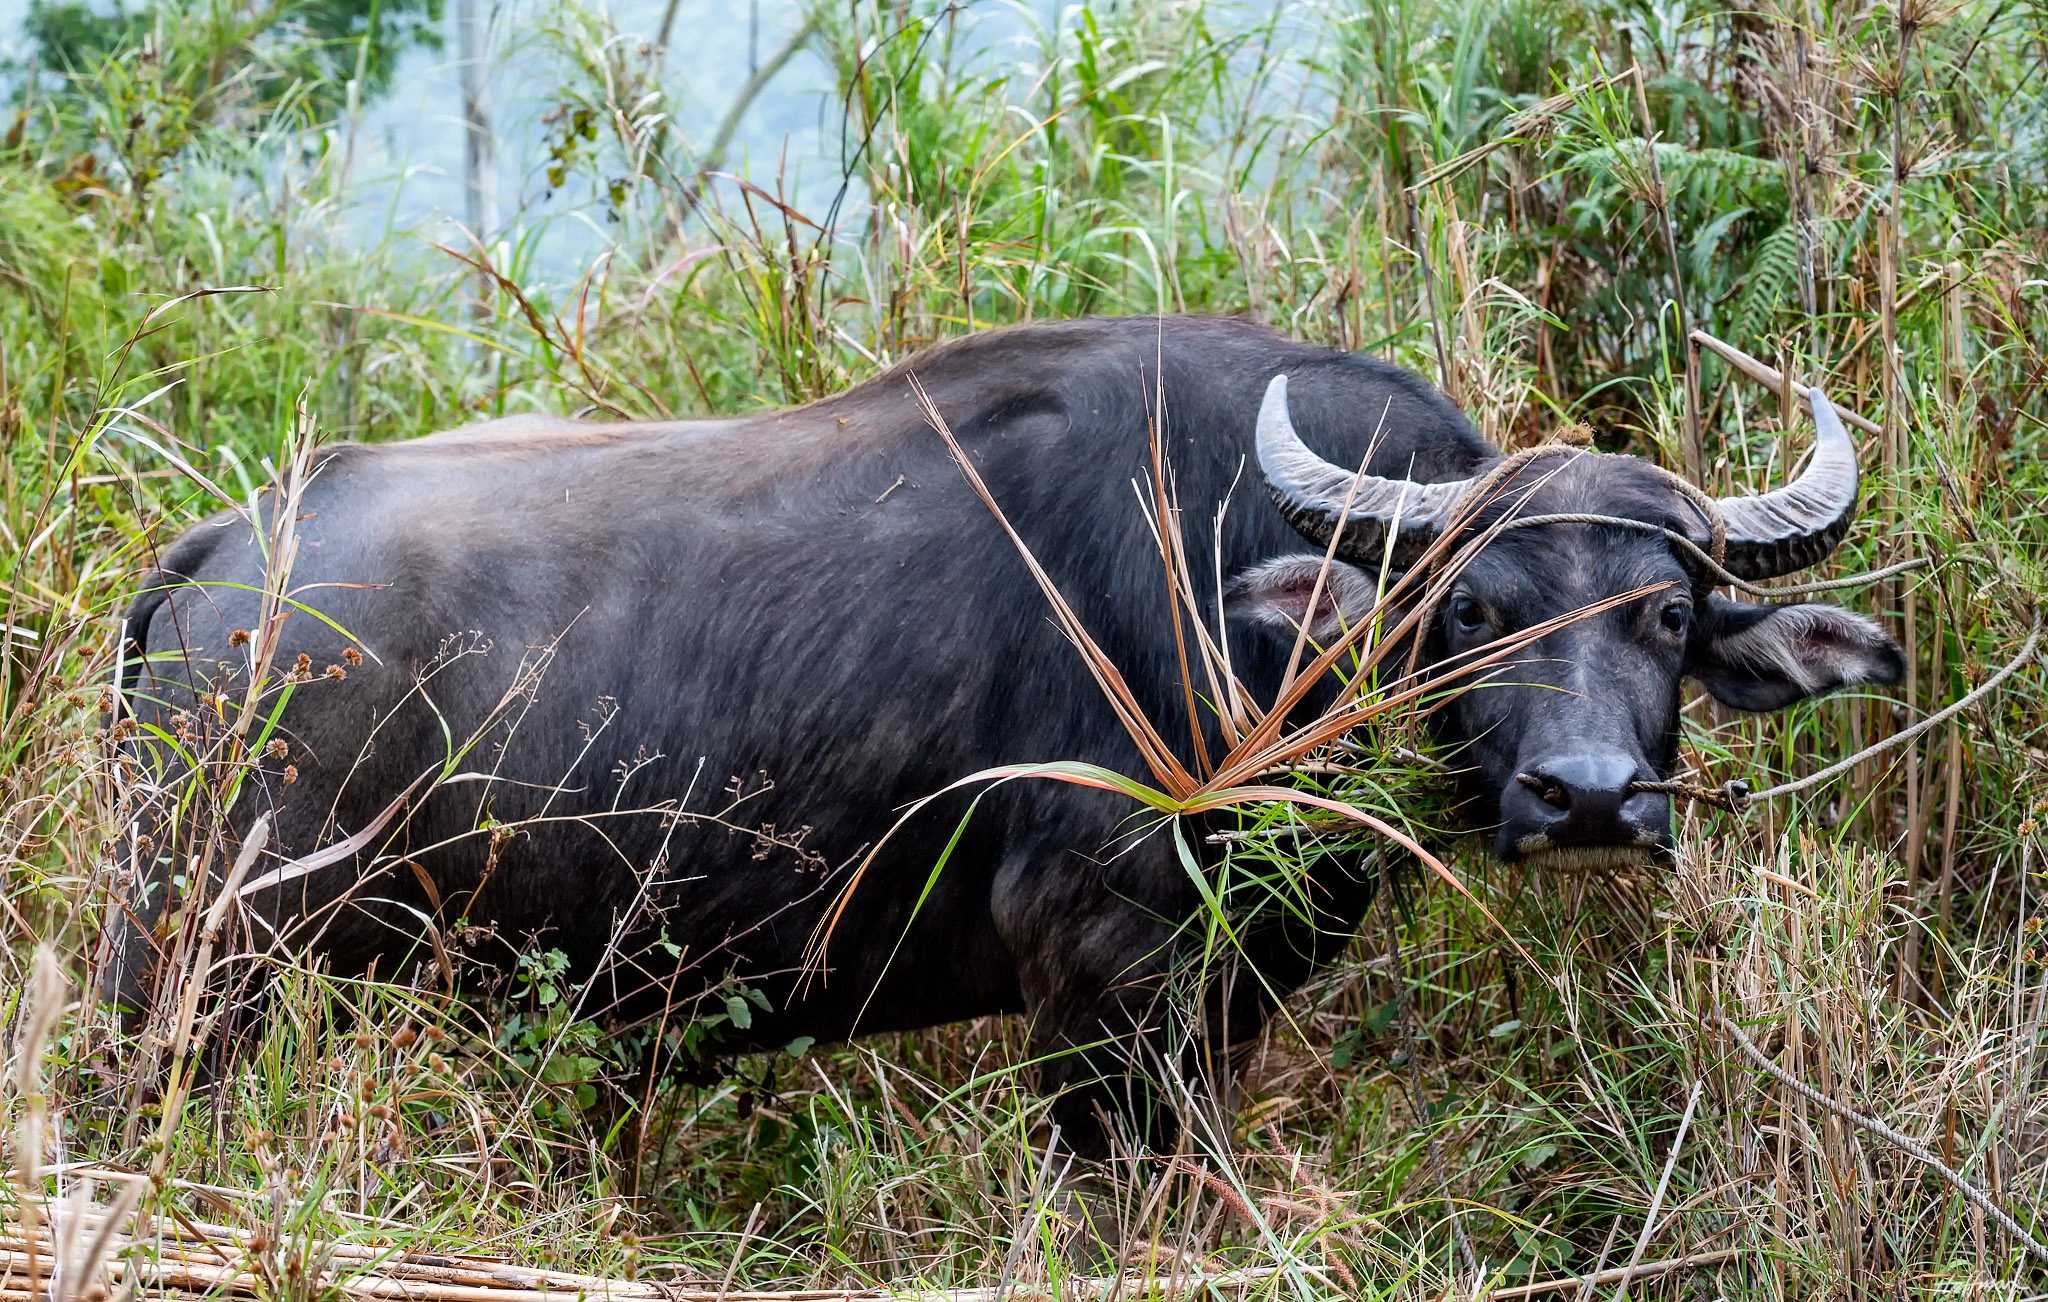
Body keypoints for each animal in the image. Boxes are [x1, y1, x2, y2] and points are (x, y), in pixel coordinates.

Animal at [103, 315, 1900, 1146]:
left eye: (1661, 611)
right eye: (1466, 609)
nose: (1589, 796)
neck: (1239, 613)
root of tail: (230, 549)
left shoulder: (1226, 994)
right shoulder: (1101, 978)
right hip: (194, 954)